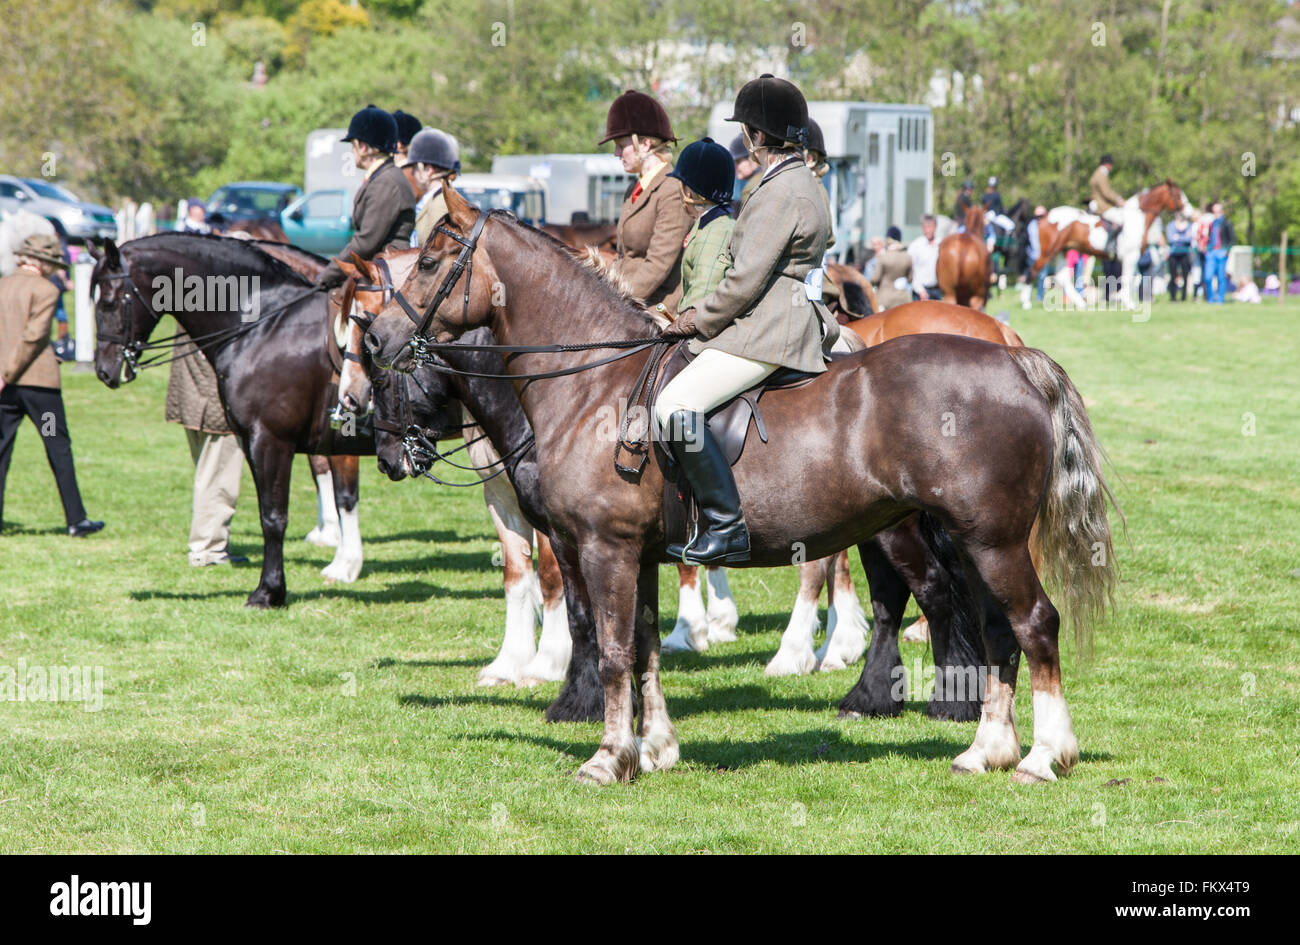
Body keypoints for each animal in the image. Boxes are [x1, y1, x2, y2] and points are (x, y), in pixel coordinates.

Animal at [91, 232, 372, 606]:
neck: (265, 324)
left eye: (108, 302)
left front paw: (270, 592)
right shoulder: (258, 441)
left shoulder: (271, 441)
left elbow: (276, 517)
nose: (104, 370)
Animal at [365, 184, 1117, 784]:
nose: (376, 336)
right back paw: (985, 749)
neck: (594, 383)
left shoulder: (604, 548)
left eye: (428, 262)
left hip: (991, 541)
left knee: (1033, 623)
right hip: (968, 541)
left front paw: (608, 758)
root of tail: (1015, 358)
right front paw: (655, 748)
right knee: (995, 629)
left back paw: (1043, 755)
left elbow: (611, 652)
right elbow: (642, 648)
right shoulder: (638, 554)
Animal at [1031, 180, 1190, 309]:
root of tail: (1045, 216)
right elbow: (1128, 279)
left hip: (1062, 251)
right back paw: (1027, 303)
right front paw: (1128, 303)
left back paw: (1081, 304)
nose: (1188, 213)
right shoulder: (1131, 256)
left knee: (1062, 277)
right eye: (1178, 195)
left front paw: (1121, 299)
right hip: (1047, 252)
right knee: (1033, 271)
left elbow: (1132, 279)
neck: (1136, 218)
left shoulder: (1132, 257)